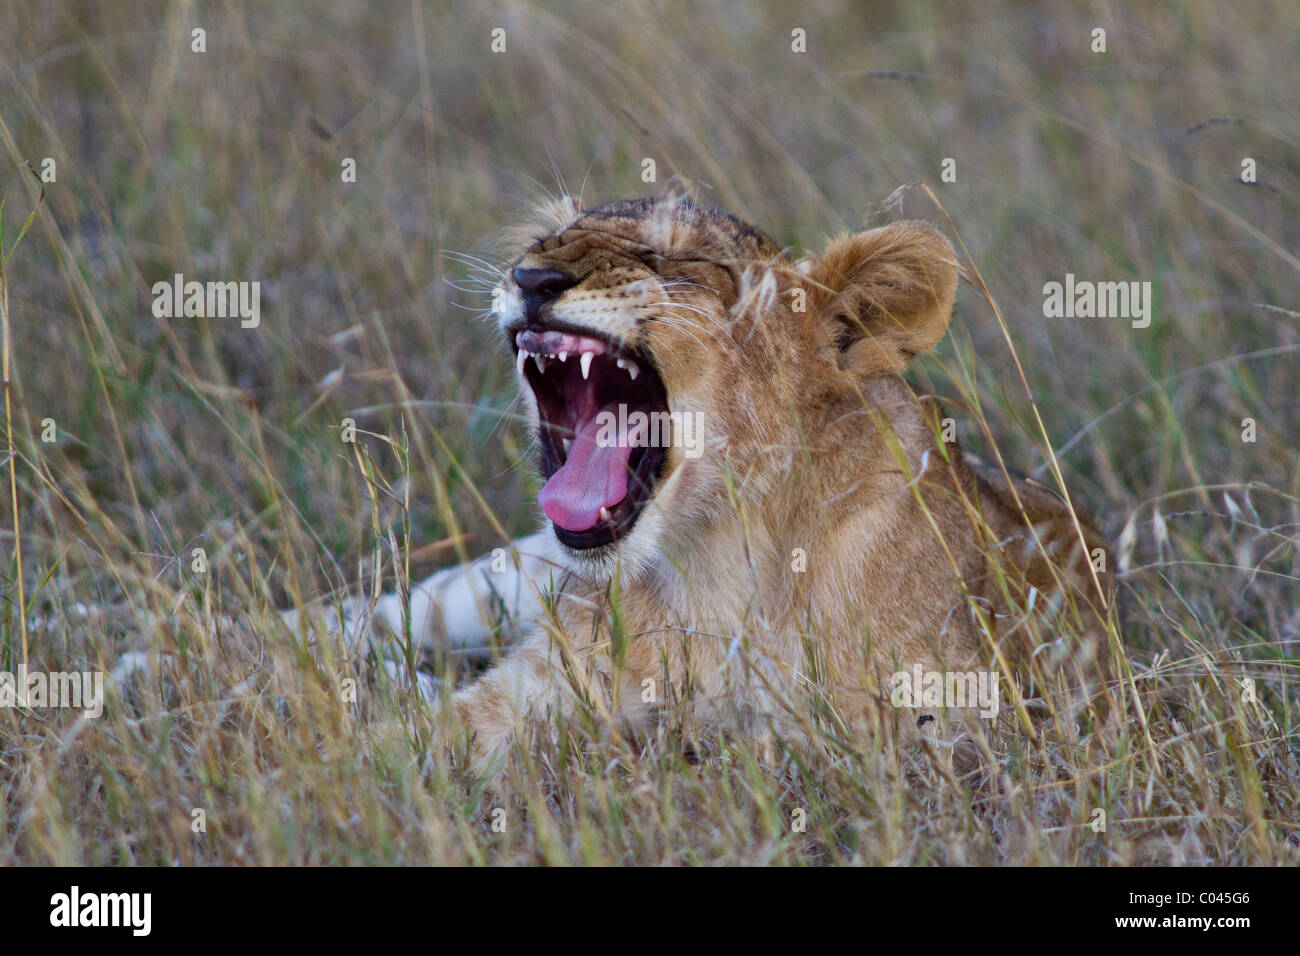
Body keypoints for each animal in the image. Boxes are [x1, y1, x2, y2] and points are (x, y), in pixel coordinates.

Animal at [289, 196, 1117, 772]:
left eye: (669, 259)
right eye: (541, 245)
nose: (530, 278)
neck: (716, 562)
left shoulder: (928, 736)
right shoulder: (535, 687)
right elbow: (388, 744)